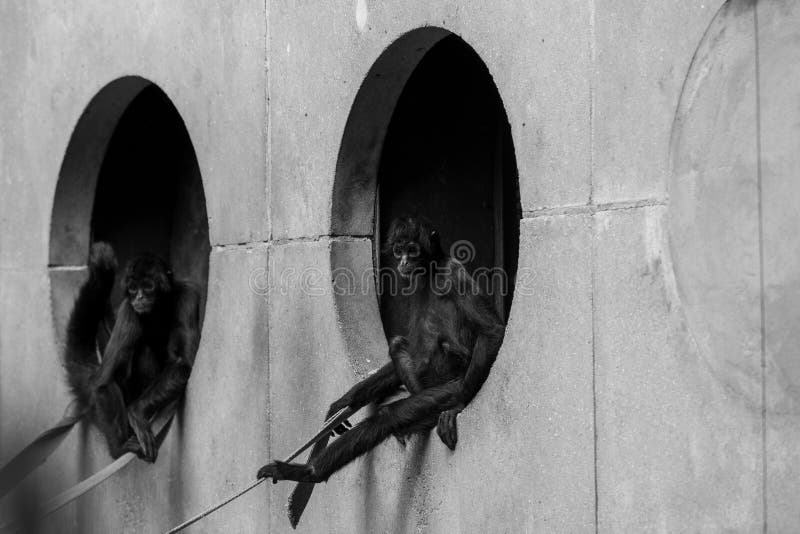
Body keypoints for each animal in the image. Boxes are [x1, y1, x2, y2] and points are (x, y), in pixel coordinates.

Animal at [64, 243, 200, 462]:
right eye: (133, 288)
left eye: (148, 286)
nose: (139, 297)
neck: (157, 311)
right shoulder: (129, 310)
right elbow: (103, 382)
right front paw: (119, 448)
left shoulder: (188, 295)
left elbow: (182, 361)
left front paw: (137, 412)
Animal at [257, 215, 504, 484]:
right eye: (399, 250)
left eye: (412, 250)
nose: (404, 262)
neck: (430, 273)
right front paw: (344, 403)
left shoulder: (453, 272)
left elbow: (492, 330)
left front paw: (457, 406)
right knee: (397, 345)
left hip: (449, 385)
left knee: (389, 415)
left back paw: (307, 472)